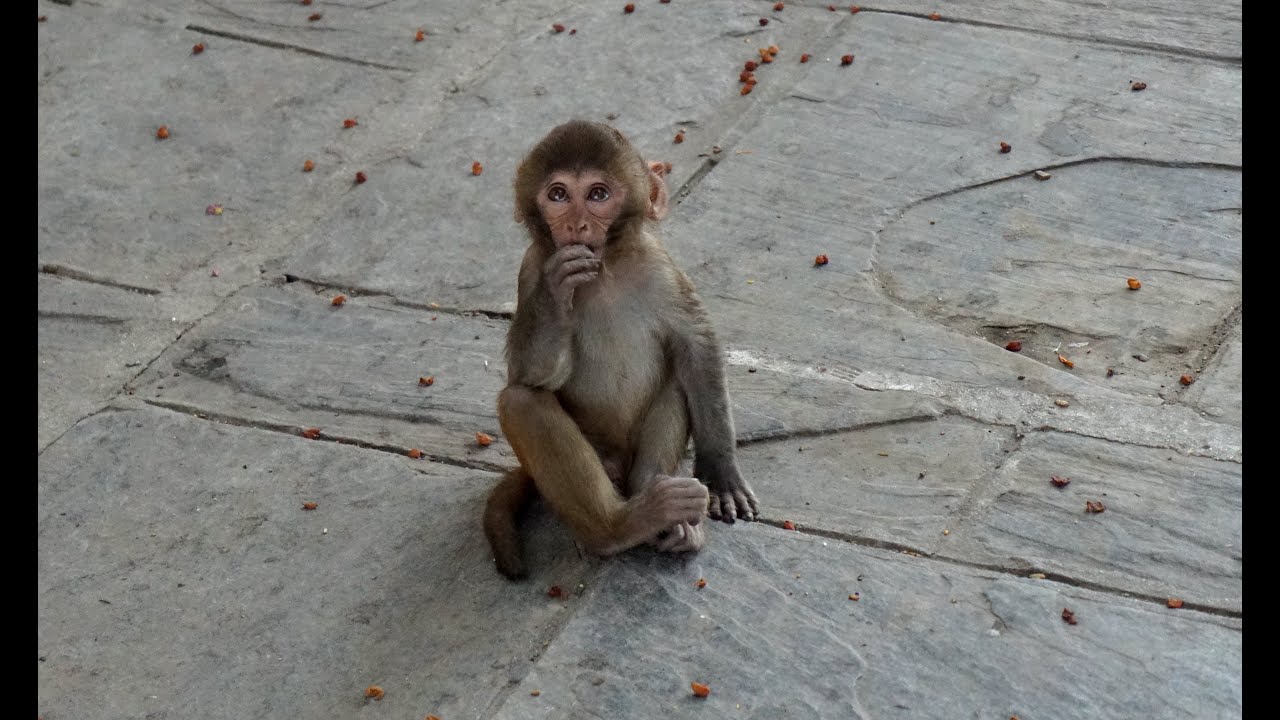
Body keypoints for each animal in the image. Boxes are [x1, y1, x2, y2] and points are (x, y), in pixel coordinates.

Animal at [483, 119, 760, 579]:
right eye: (558, 195)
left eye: (598, 194)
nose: (576, 226)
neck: (606, 270)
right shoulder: (531, 268)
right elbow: (529, 374)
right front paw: (557, 294)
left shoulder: (659, 267)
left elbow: (697, 344)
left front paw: (721, 470)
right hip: (598, 460)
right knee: (521, 401)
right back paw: (621, 526)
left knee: (679, 376)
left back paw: (668, 515)